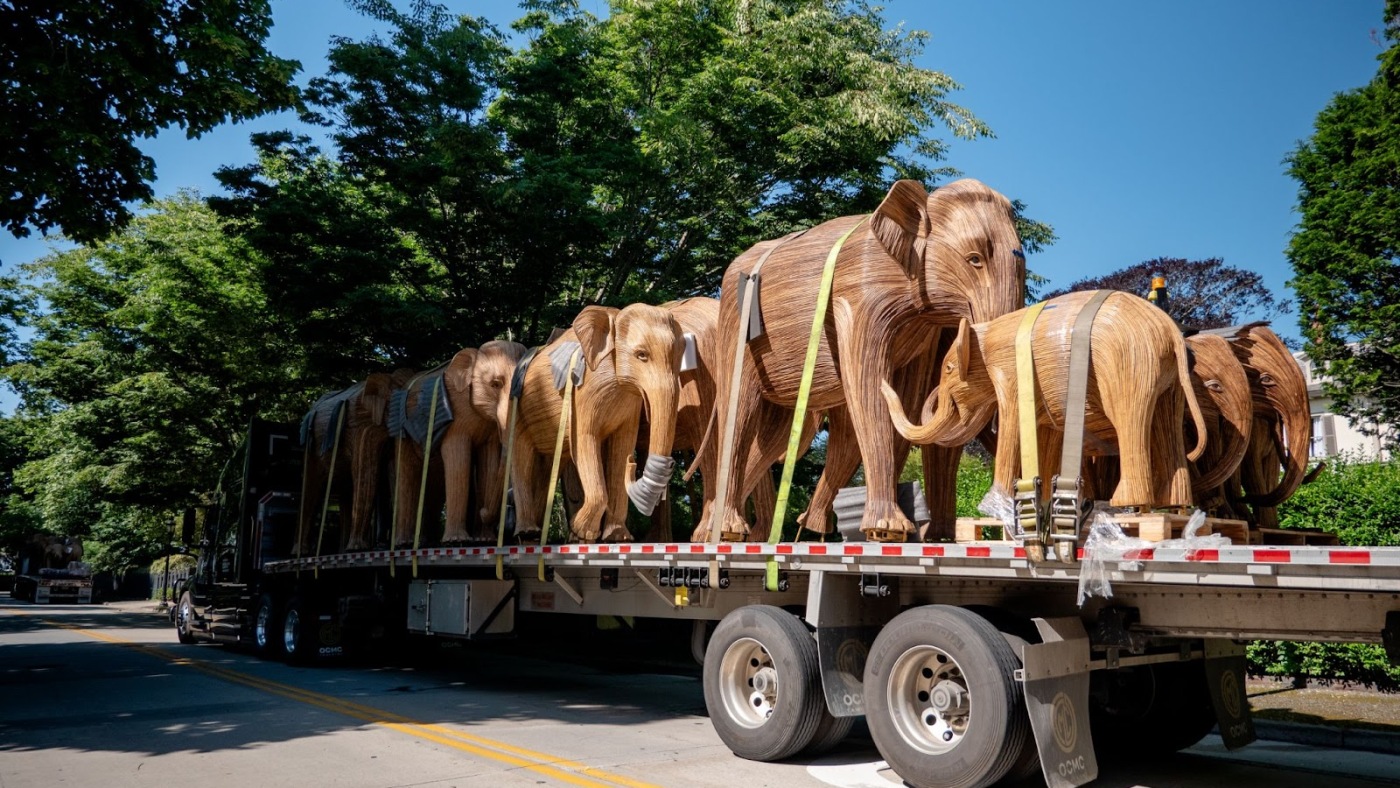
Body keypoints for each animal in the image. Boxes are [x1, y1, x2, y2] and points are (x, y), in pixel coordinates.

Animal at [297, 369, 414, 554]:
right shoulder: (362, 428)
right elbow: (364, 473)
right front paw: (358, 549)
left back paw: (342, 550)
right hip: (310, 446)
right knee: (311, 489)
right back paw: (304, 552)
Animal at [388, 340, 527, 549]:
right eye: (495, 384)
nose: (484, 511)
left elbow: (489, 464)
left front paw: (484, 540)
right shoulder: (456, 417)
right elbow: (459, 461)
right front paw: (457, 541)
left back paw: (423, 542)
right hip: (401, 430)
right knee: (406, 475)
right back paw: (404, 544)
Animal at [510, 304, 685, 542]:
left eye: (680, 355)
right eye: (641, 355)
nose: (633, 464)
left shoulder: (630, 404)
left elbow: (622, 446)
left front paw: (618, 538)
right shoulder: (582, 392)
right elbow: (586, 439)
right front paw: (580, 532)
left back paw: (536, 536)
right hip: (515, 407)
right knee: (521, 457)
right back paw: (527, 532)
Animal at [704, 178, 1027, 542]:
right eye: (974, 259)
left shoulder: (921, 333)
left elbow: (906, 398)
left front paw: (897, 533)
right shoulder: (858, 297)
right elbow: (870, 388)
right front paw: (888, 529)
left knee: (777, 437)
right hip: (736, 327)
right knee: (740, 414)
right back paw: (729, 530)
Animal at [885, 290, 1208, 510]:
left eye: (949, 369)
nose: (884, 384)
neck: (985, 331)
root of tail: (1171, 331)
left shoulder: (1011, 375)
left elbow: (1012, 426)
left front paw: (994, 509)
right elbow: (1048, 437)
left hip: (1128, 365)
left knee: (1129, 420)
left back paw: (1130, 504)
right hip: (1169, 380)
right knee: (1167, 425)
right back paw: (1176, 505)